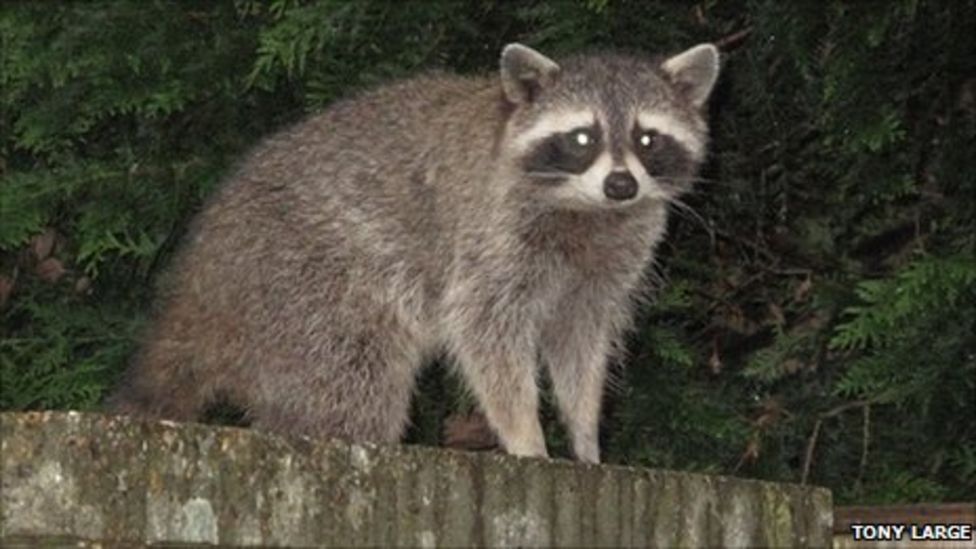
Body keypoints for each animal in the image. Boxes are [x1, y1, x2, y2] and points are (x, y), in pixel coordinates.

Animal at [108, 42, 720, 463]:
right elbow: (483, 332)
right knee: (357, 387)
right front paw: (525, 435)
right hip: (309, 287)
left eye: (647, 139)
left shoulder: (607, 265)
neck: (586, 210)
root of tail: (202, 280)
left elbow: (581, 344)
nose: (621, 185)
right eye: (582, 138)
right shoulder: (490, 234)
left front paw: (586, 435)